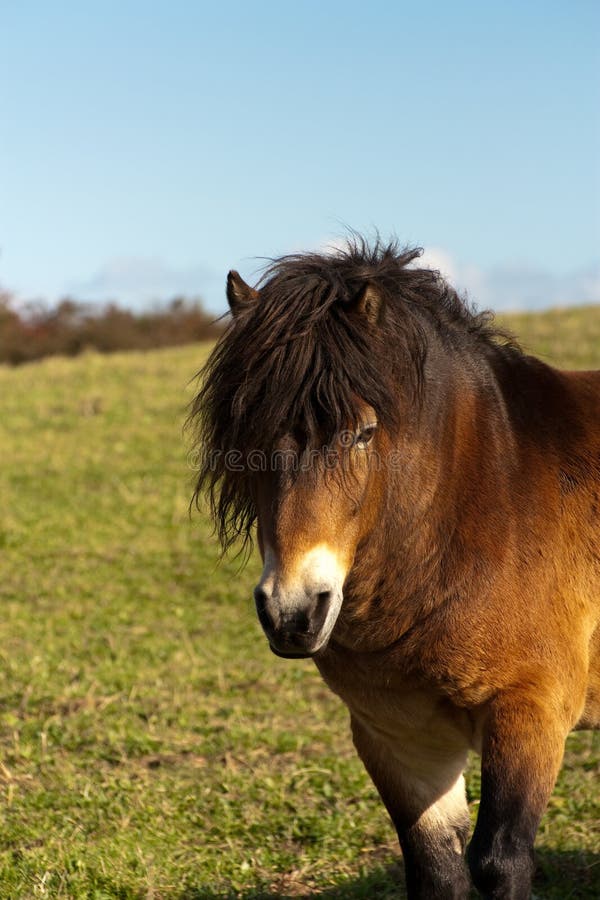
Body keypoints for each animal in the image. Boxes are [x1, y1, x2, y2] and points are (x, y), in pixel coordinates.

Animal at [189, 237, 600, 899]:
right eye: (245, 434)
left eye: (363, 432)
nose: (293, 613)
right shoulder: (398, 738)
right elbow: (436, 868)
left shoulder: (531, 713)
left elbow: (501, 861)